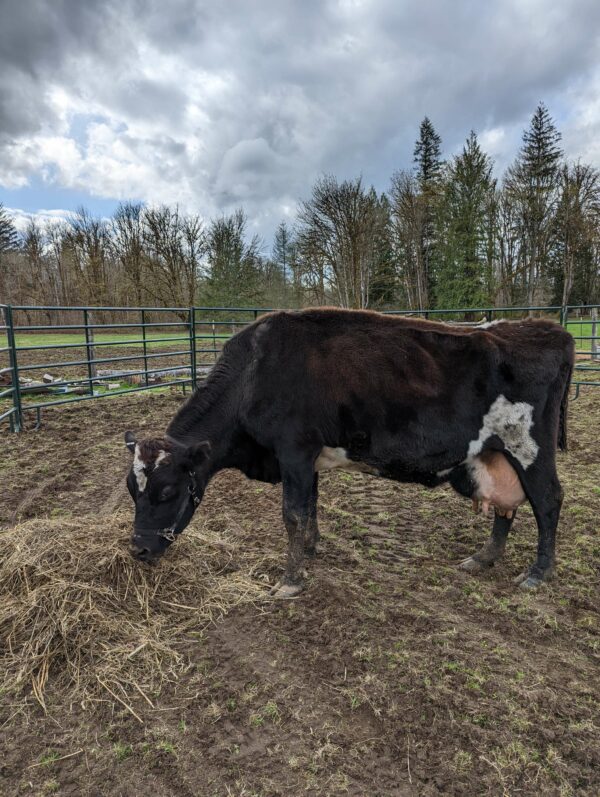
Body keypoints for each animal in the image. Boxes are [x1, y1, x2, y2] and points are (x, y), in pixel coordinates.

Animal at [124, 308, 574, 597]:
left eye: (168, 491)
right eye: (132, 489)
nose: (138, 550)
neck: (254, 374)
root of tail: (546, 329)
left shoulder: (293, 451)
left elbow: (292, 513)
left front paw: (290, 579)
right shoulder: (309, 458)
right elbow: (311, 505)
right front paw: (310, 549)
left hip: (529, 447)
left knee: (548, 500)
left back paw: (539, 572)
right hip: (497, 454)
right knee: (506, 506)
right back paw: (484, 557)